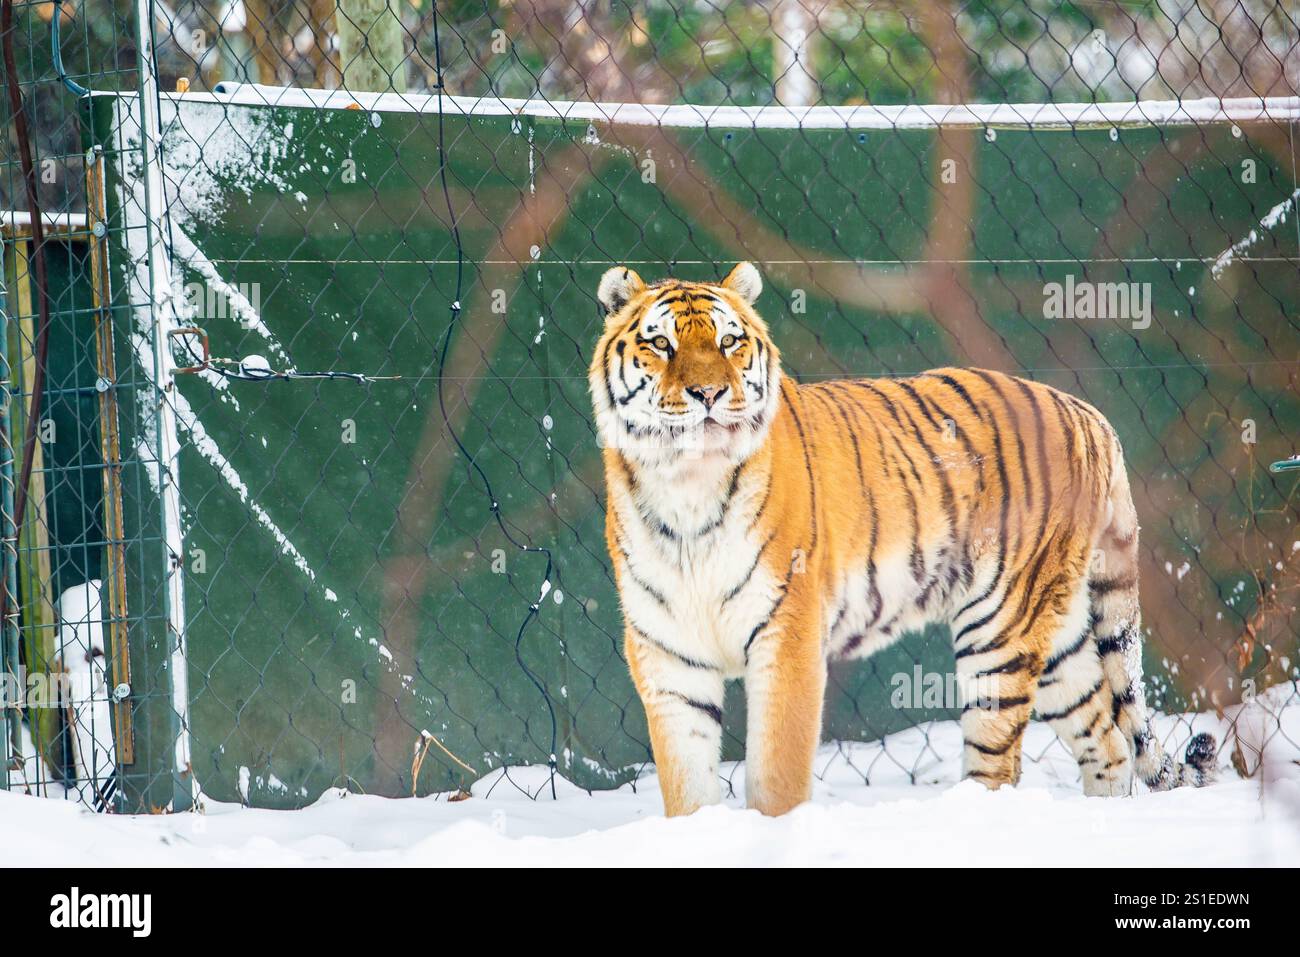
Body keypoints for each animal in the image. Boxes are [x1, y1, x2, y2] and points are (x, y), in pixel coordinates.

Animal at [589, 262, 1217, 817]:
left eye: (729, 341)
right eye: (661, 344)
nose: (709, 394)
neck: (687, 489)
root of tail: (1088, 414)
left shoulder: (787, 634)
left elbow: (776, 777)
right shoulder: (668, 653)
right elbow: (687, 786)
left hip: (1001, 626)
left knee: (999, 761)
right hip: (1057, 633)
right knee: (1106, 736)